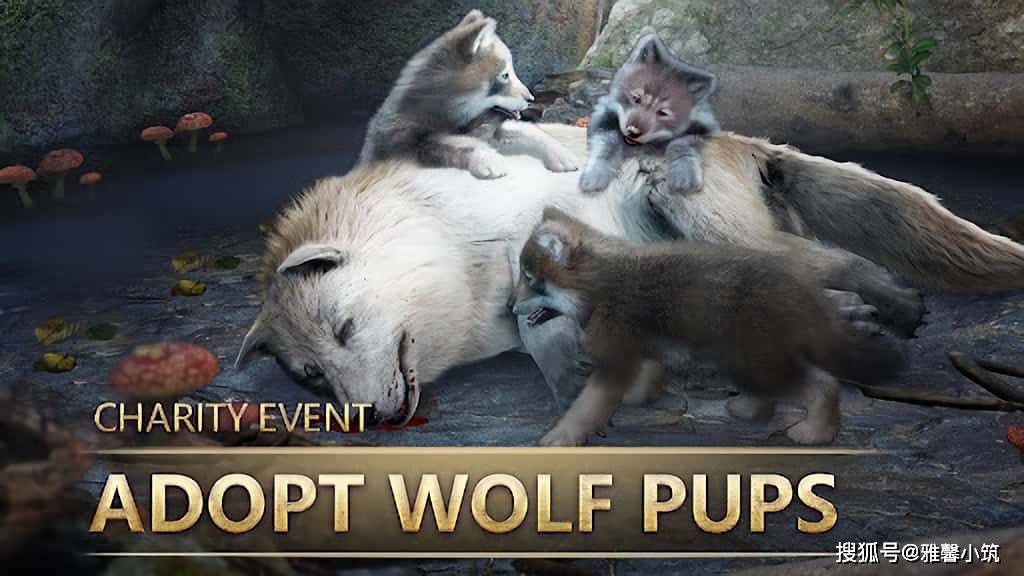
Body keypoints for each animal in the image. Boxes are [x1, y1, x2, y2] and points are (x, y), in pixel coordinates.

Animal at [359, 10, 578, 180]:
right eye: (505, 75)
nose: (530, 99)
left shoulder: (490, 128)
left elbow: (526, 130)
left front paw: (560, 152)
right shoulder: (406, 144)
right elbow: (451, 142)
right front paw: (488, 159)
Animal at [511, 207, 903, 446]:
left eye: (530, 280)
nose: (509, 306)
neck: (600, 284)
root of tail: (806, 292)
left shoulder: (615, 358)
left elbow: (587, 406)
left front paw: (561, 436)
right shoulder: (644, 347)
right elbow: (646, 375)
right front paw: (638, 396)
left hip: (754, 360)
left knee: (823, 384)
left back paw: (816, 431)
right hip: (745, 357)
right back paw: (749, 409)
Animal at [580, 33, 719, 195]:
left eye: (663, 113)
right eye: (636, 98)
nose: (633, 131)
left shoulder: (702, 130)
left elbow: (682, 143)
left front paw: (685, 174)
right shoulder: (605, 117)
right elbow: (608, 145)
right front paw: (595, 175)